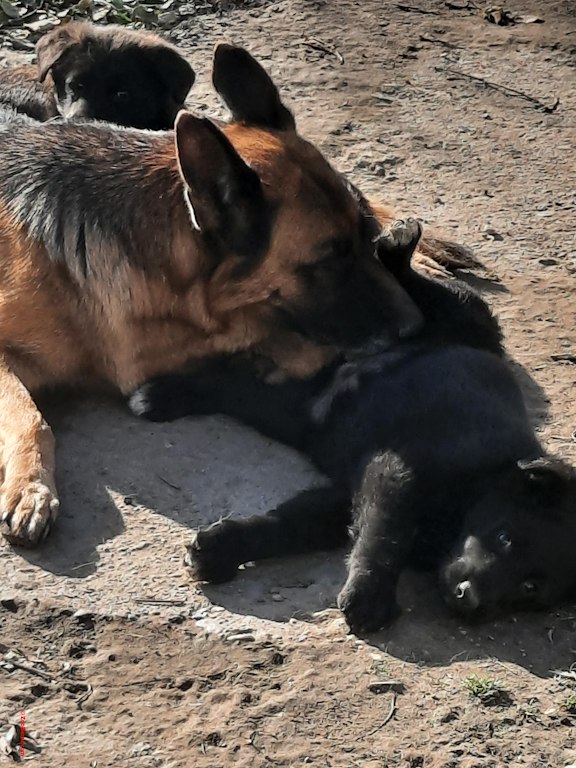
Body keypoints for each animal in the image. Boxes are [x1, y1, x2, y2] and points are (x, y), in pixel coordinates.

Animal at [130, 220, 576, 632]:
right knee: (436, 293)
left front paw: (222, 548)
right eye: (504, 538)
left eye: (530, 588)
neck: (478, 488)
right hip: (468, 318)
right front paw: (370, 594)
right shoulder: (396, 473)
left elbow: (294, 524)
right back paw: (399, 246)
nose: (469, 599)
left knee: (240, 392)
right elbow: (383, 535)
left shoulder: (348, 494)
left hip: (300, 414)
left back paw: (165, 396)